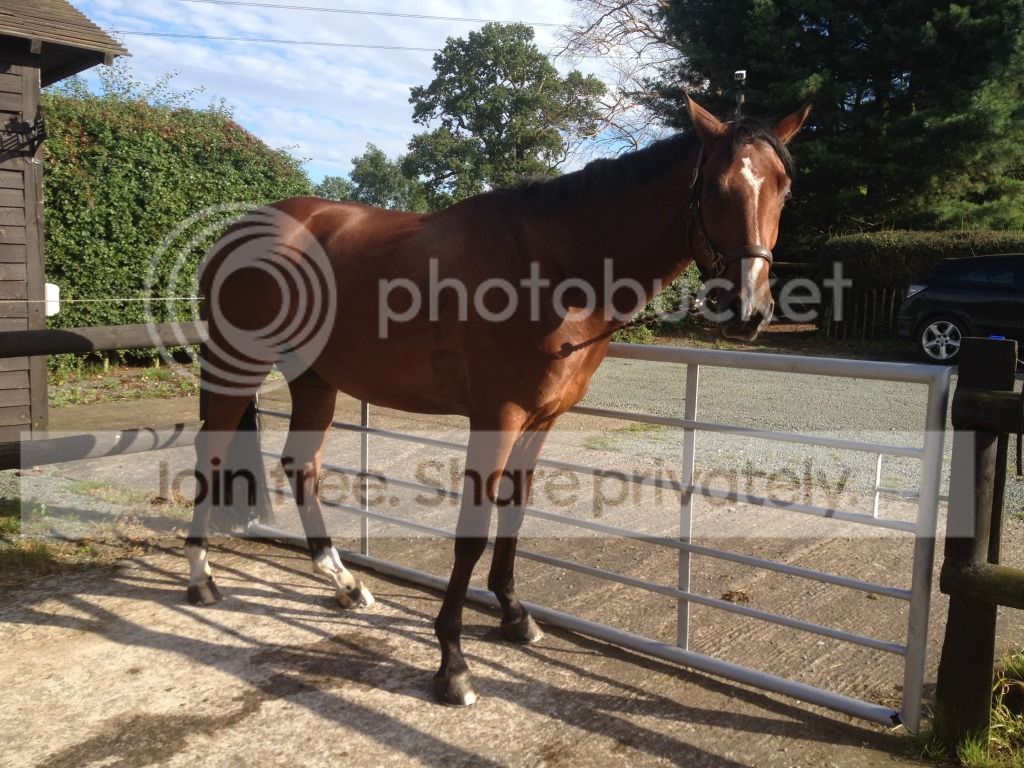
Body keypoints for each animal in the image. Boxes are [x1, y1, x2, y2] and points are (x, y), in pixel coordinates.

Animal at [184, 95, 810, 706]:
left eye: (784, 188)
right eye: (717, 187)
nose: (749, 309)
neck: (556, 267)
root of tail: (240, 229)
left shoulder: (541, 419)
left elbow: (515, 511)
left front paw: (513, 615)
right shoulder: (497, 417)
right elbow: (473, 532)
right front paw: (452, 662)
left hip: (315, 377)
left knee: (302, 466)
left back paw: (345, 582)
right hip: (239, 365)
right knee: (210, 455)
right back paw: (201, 578)